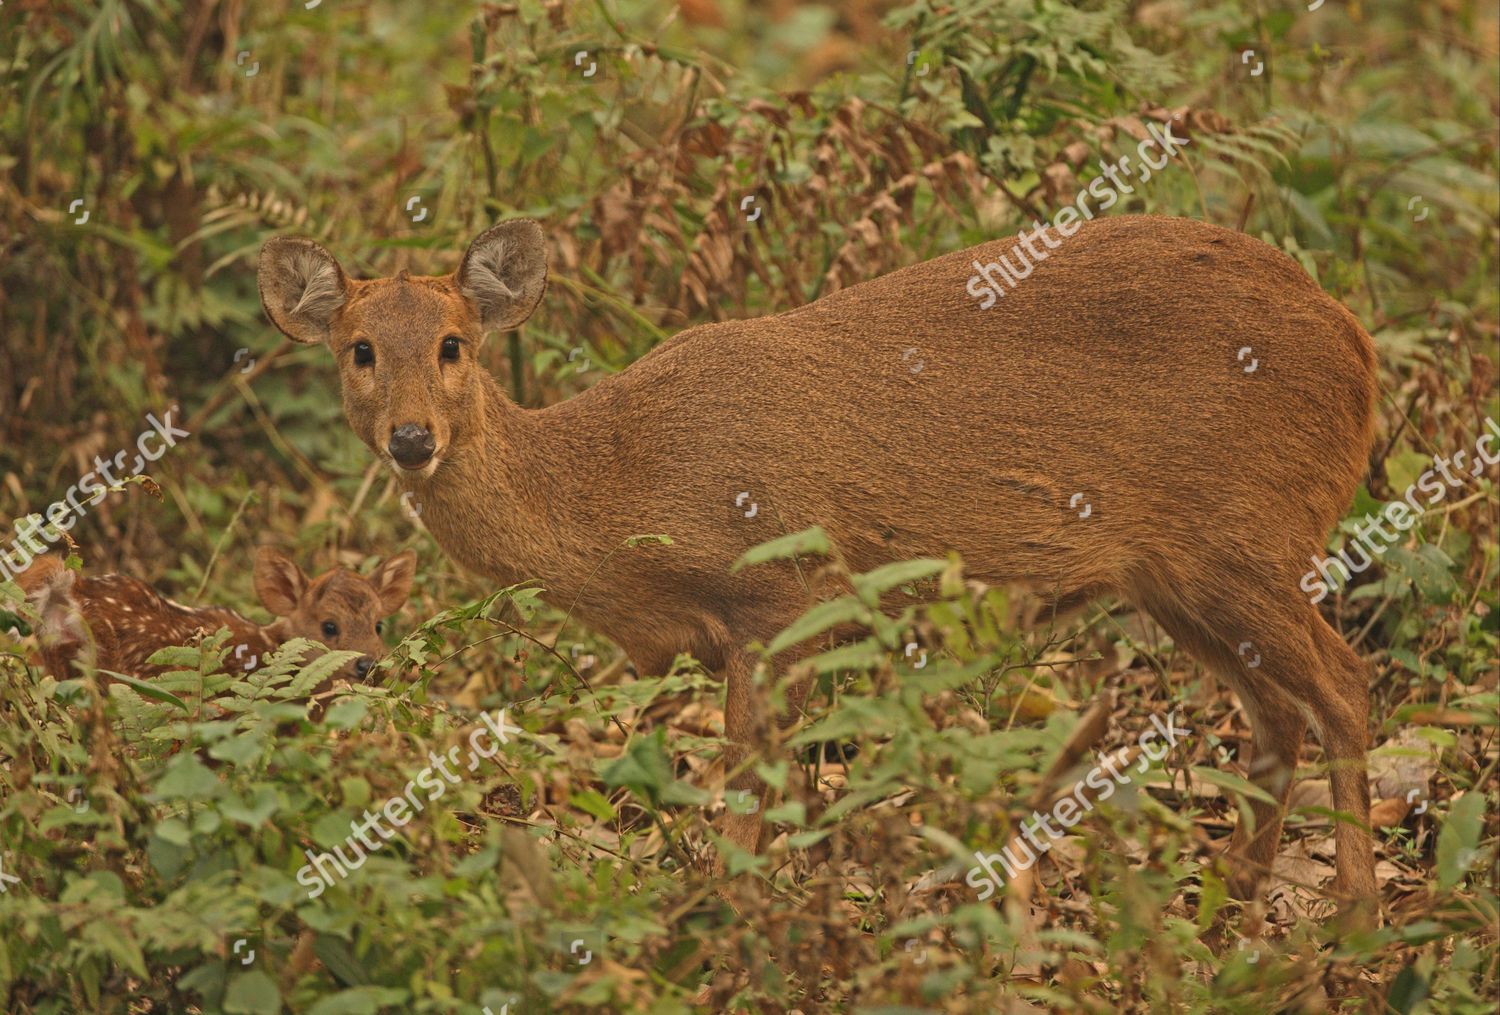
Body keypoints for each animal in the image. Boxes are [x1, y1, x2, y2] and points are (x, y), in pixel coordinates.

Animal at [257, 213, 1380, 923]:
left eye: (455, 343)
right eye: (359, 348)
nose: (411, 440)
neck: (619, 486)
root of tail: (1357, 345)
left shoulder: (782, 599)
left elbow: (752, 803)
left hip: (1249, 536)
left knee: (1345, 684)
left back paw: (1354, 928)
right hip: (1177, 575)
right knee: (1277, 716)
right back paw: (1233, 915)